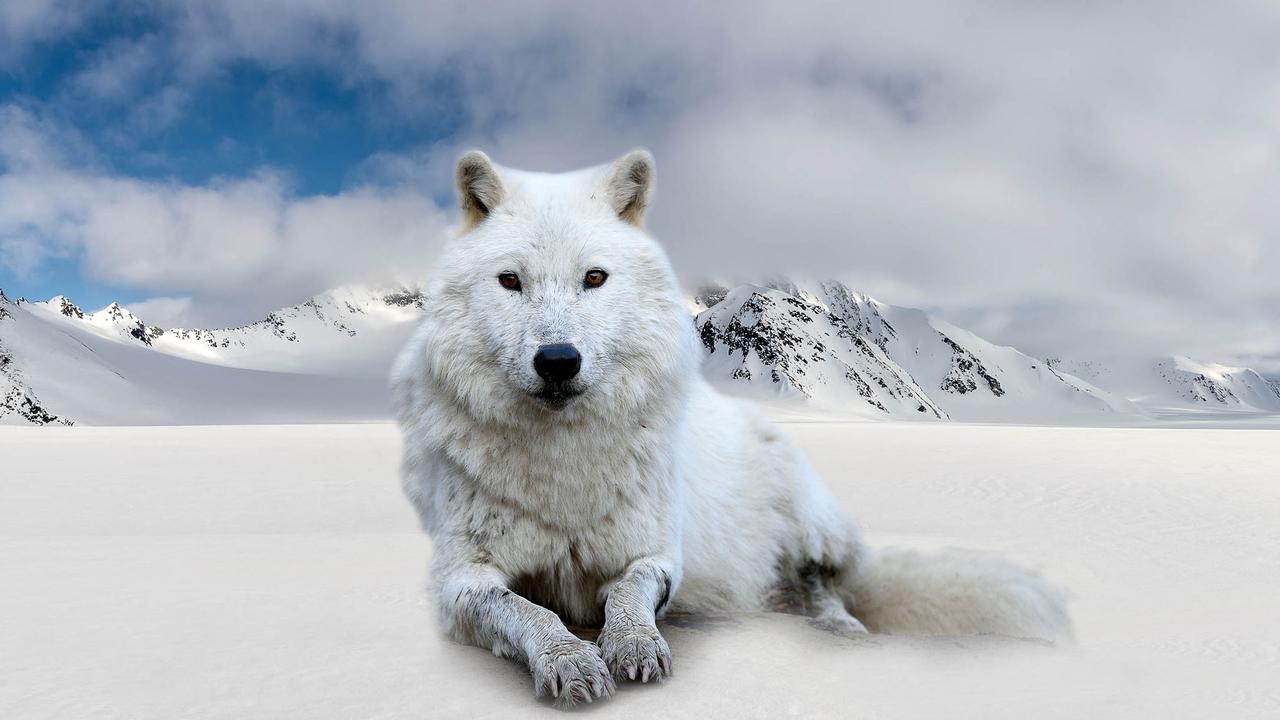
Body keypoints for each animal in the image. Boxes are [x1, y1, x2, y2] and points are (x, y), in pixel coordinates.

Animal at [392, 149, 1070, 706]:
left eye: (594, 278)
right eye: (510, 281)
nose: (558, 361)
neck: (563, 467)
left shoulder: (657, 554)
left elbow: (629, 593)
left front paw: (634, 644)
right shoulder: (459, 581)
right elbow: (526, 611)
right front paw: (570, 659)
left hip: (801, 510)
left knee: (821, 582)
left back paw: (839, 627)